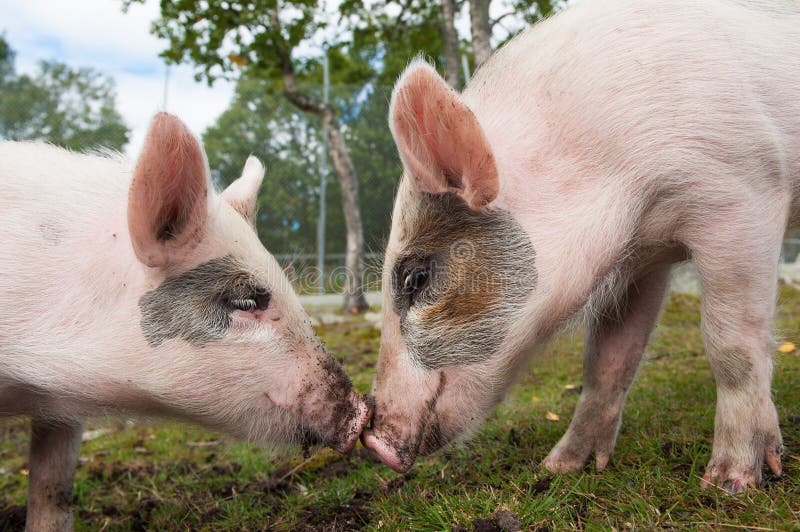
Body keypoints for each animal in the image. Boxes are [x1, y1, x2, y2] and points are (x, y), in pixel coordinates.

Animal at [363, 0, 800, 492]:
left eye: (415, 277)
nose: (372, 441)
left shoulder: (744, 192)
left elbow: (731, 346)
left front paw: (729, 483)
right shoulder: (641, 260)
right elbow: (608, 359)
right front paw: (561, 467)